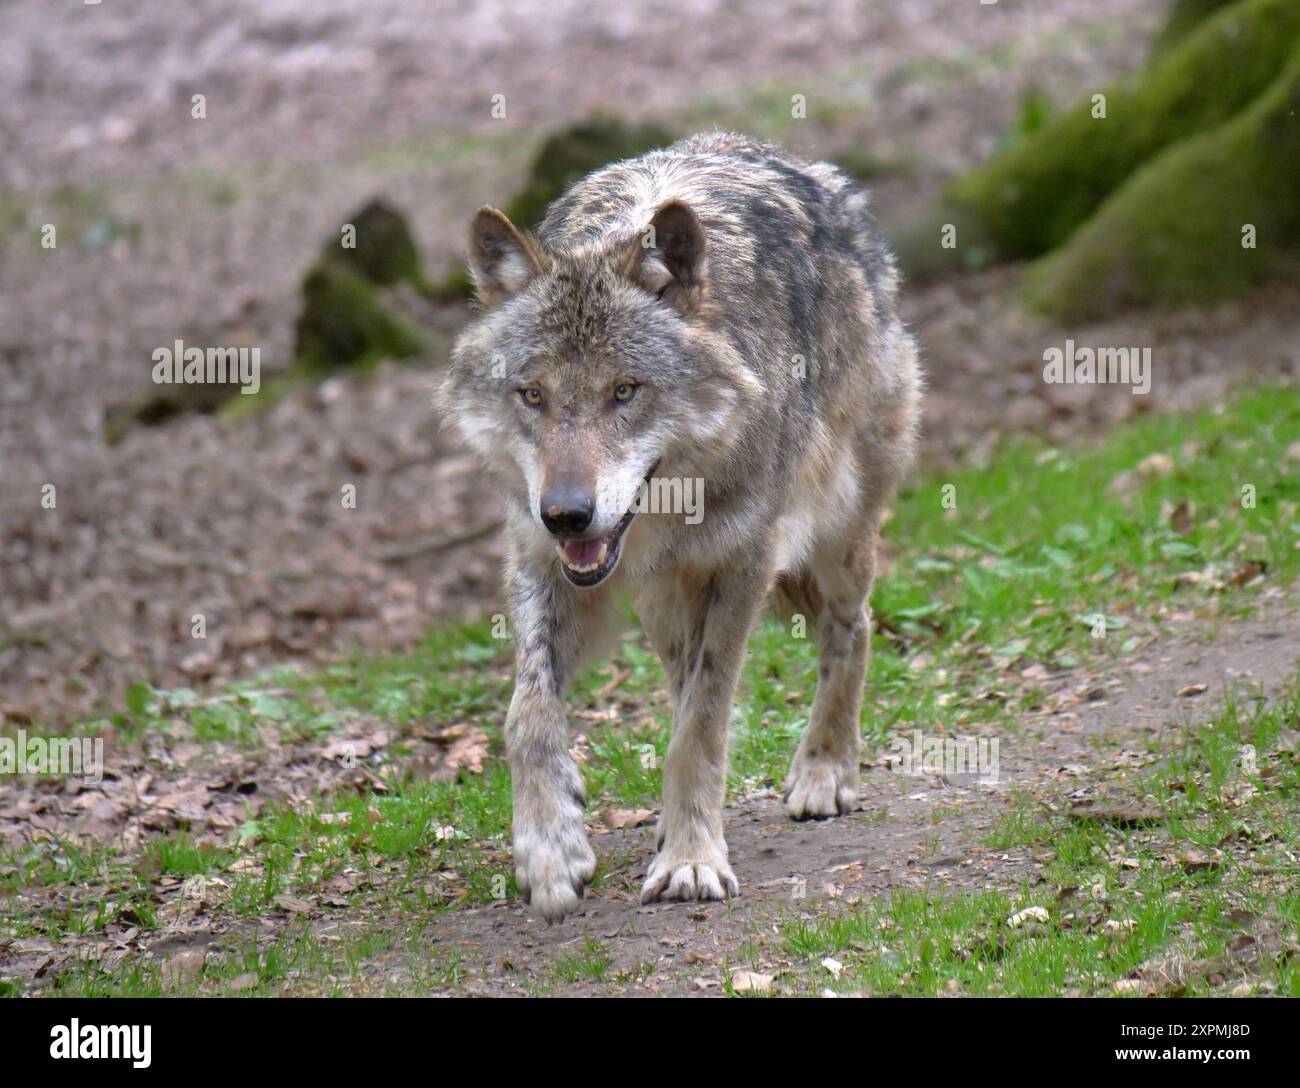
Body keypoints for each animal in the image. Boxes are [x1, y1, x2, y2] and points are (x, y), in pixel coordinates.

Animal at [438, 133, 922, 922]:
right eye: (532, 395)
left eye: (625, 391)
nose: (567, 512)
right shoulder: (542, 563)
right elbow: (527, 715)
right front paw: (551, 849)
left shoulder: (745, 563)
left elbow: (702, 725)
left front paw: (692, 860)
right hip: (662, 599)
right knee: (676, 676)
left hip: (837, 536)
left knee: (851, 633)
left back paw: (825, 770)